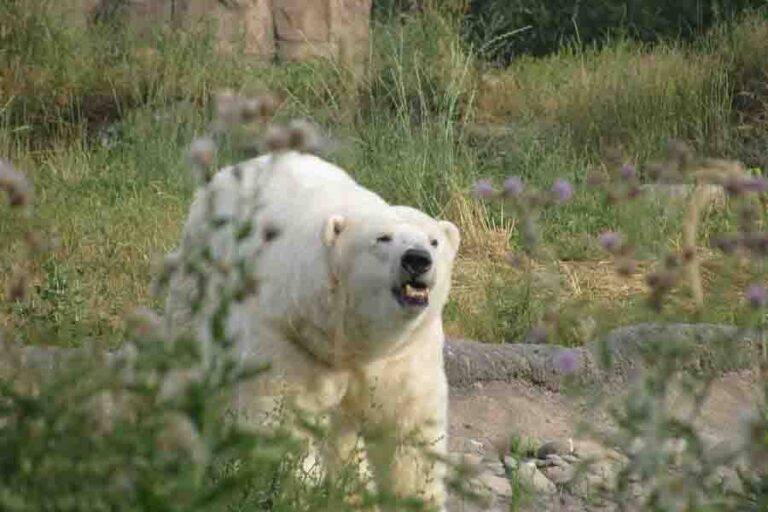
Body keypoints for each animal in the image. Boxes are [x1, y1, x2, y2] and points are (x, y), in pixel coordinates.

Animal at [165, 151, 460, 510]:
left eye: (434, 241)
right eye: (383, 238)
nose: (418, 259)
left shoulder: (403, 352)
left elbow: (408, 431)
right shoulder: (285, 337)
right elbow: (286, 423)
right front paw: (298, 495)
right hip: (199, 286)